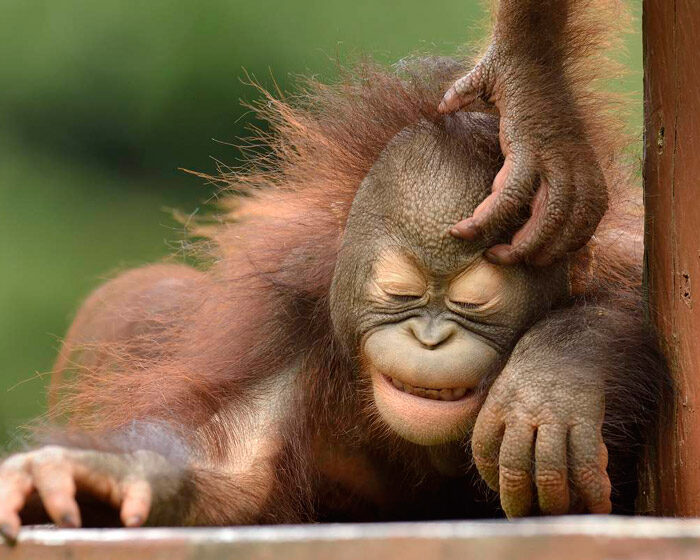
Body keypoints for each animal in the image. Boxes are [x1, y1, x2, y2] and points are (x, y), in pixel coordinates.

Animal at [0, 0, 668, 541]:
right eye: (398, 294)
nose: (430, 338)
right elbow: (228, 465)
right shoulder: (295, 329)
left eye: (473, 303)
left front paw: (554, 377)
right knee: (148, 297)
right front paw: (102, 474)